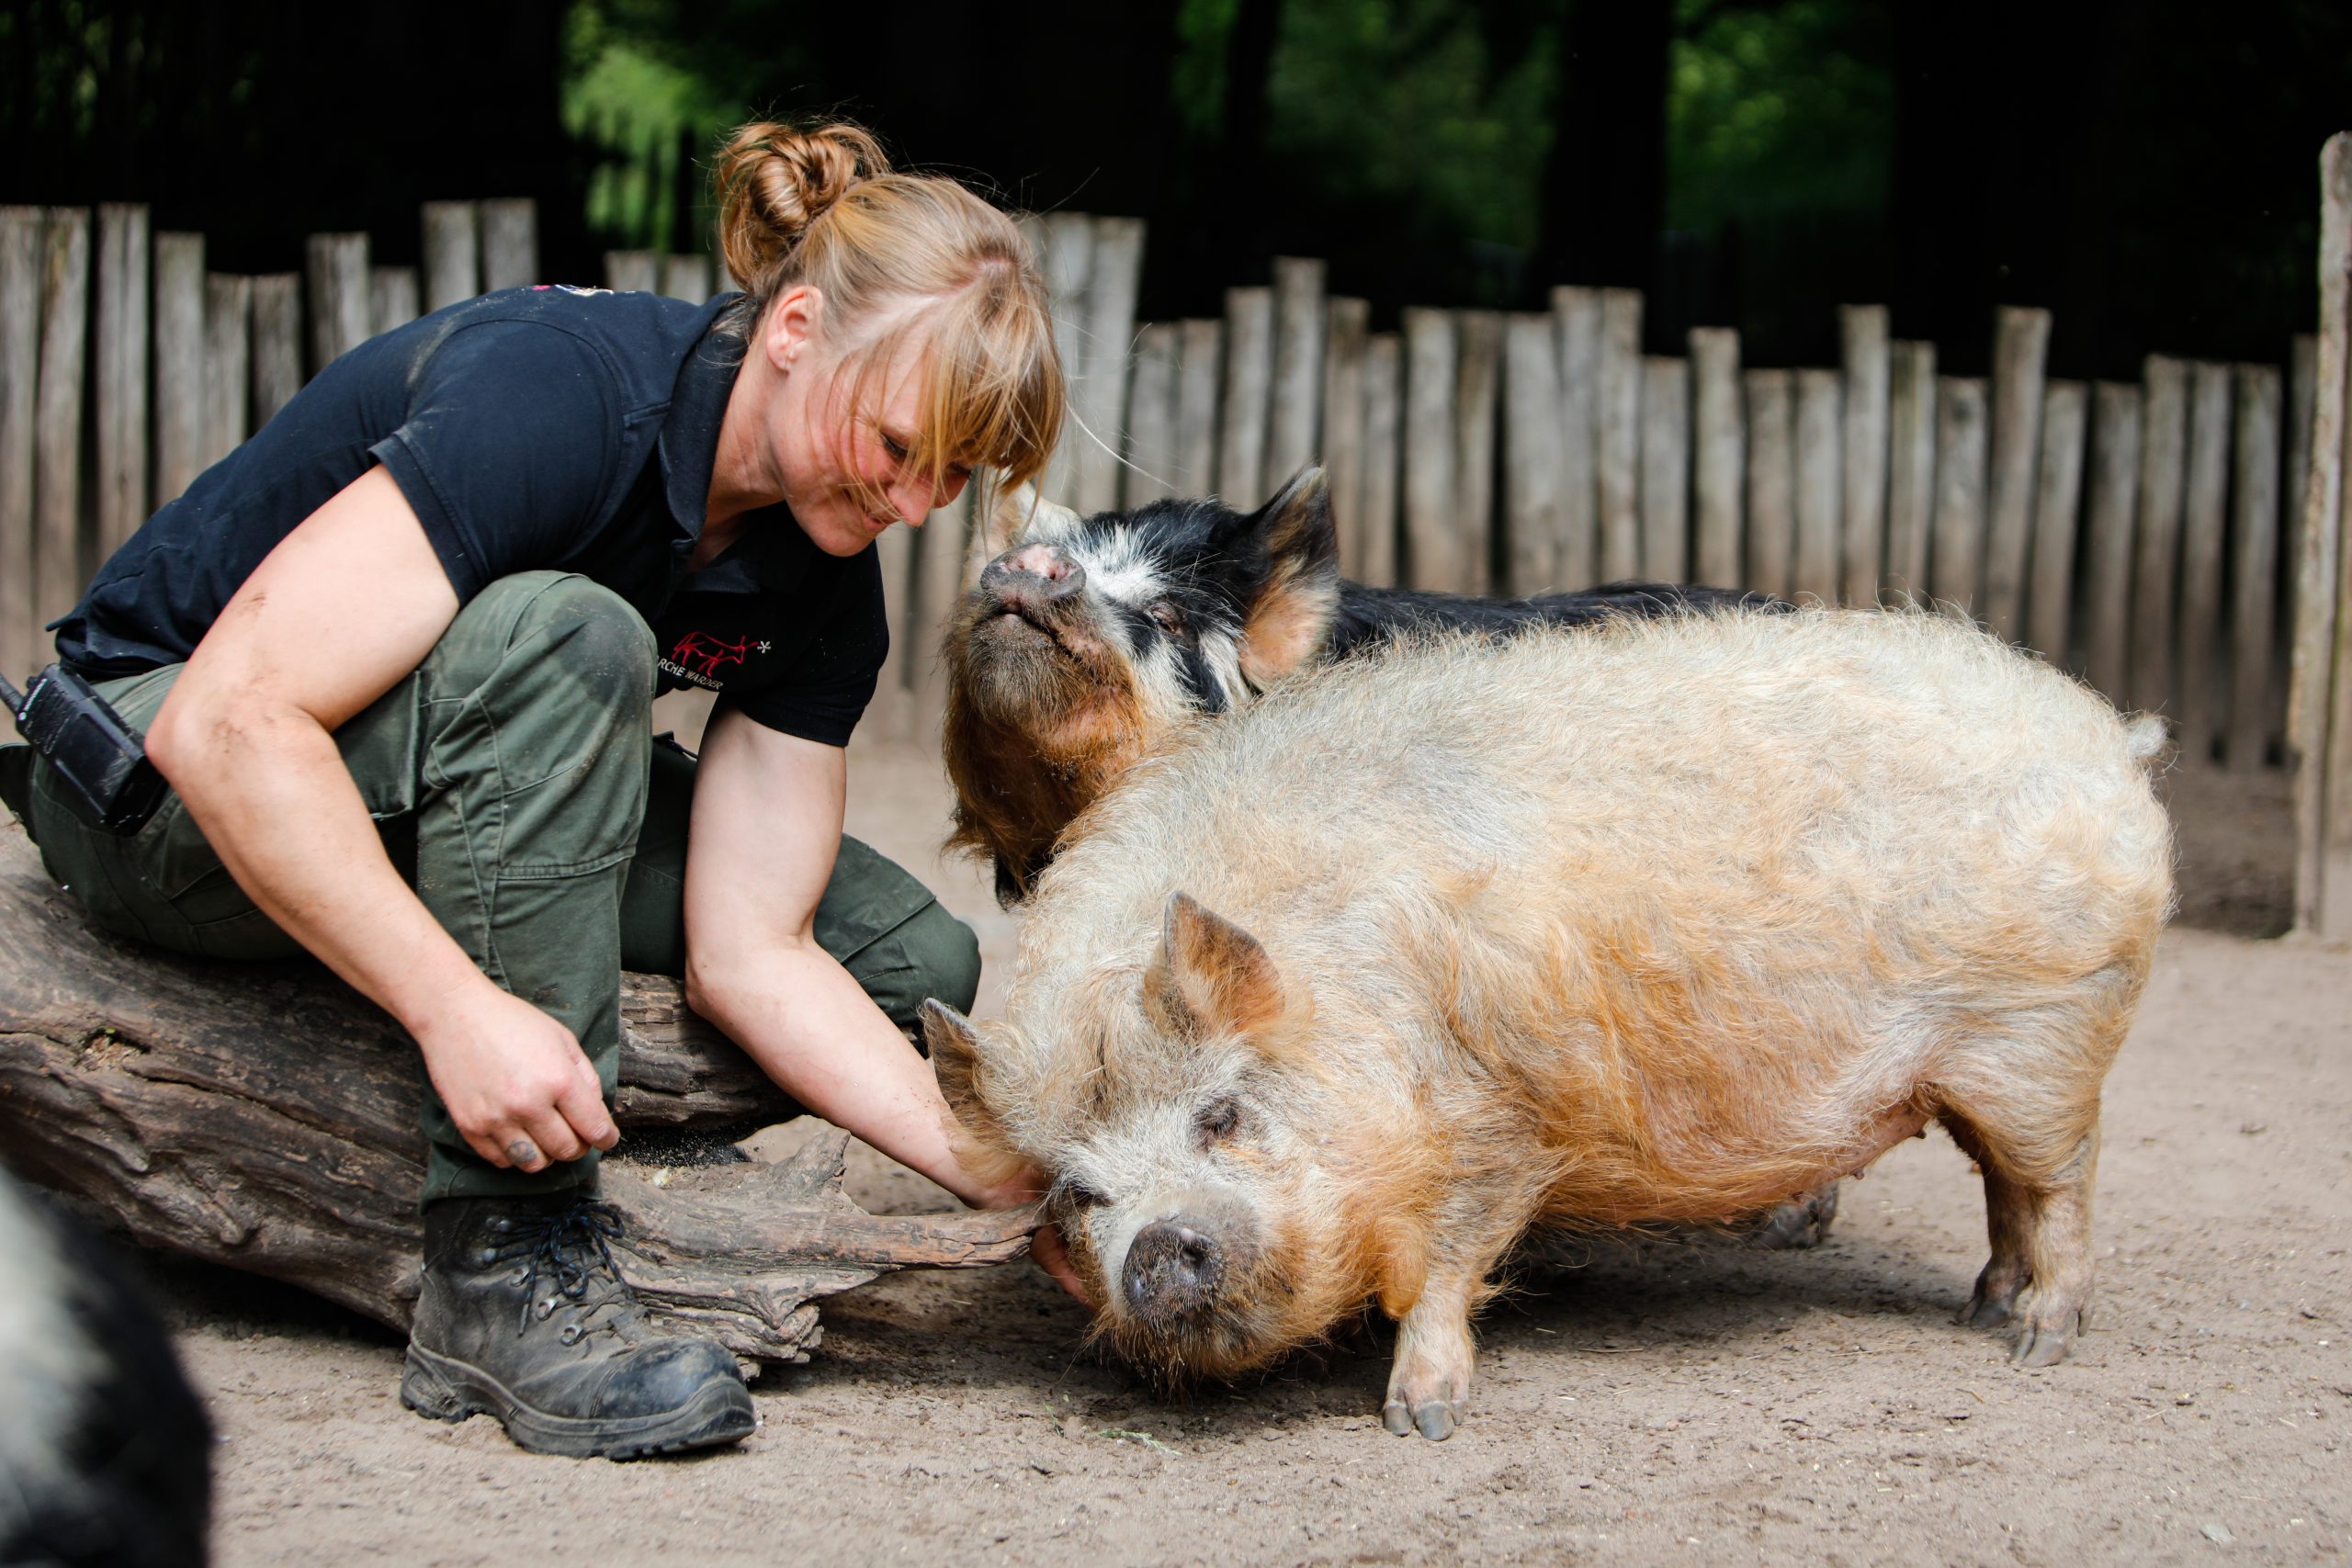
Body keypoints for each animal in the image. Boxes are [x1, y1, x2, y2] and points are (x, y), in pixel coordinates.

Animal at [923, 607, 2174, 1440]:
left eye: (1223, 1113)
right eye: (1081, 1193)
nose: (1157, 1250)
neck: (1357, 998)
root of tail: (2107, 740)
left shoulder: (1498, 1116)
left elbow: (1448, 1264)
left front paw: (1419, 1421)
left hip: (2044, 1035)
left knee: (2061, 1182)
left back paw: (2034, 1342)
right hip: (1977, 1068)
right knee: (2003, 1185)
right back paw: (1983, 1305)